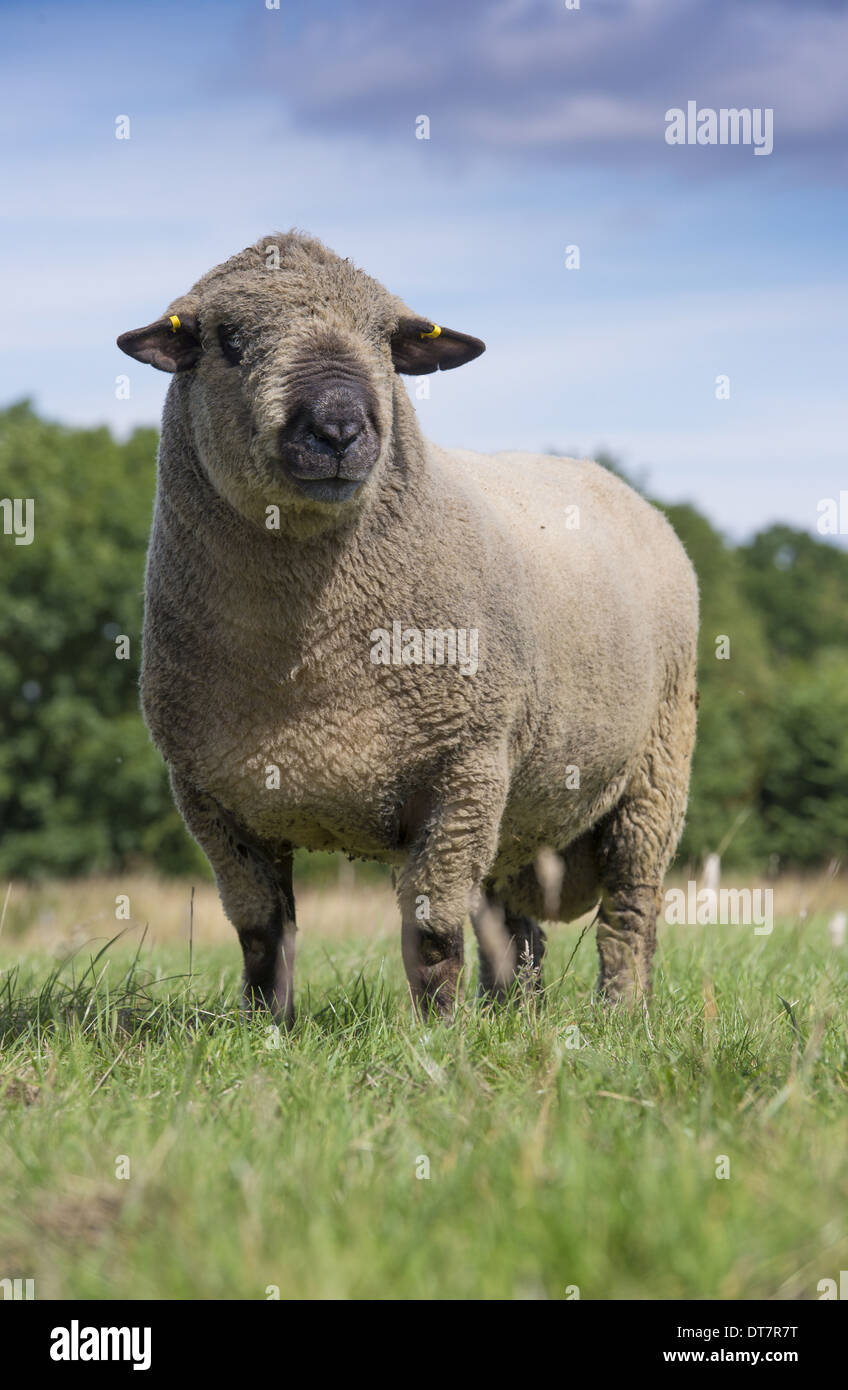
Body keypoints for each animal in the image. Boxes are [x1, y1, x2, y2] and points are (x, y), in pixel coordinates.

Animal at [117, 231, 698, 1024]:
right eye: (228, 342)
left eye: (387, 344)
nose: (337, 427)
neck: (308, 666)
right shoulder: (211, 797)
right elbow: (262, 935)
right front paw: (267, 1028)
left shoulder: (462, 770)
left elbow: (430, 935)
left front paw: (438, 1034)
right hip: (517, 806)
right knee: (516, 930)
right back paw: (513, 1015)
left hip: (653, 770)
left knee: (630, 912)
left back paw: (619, 1013)